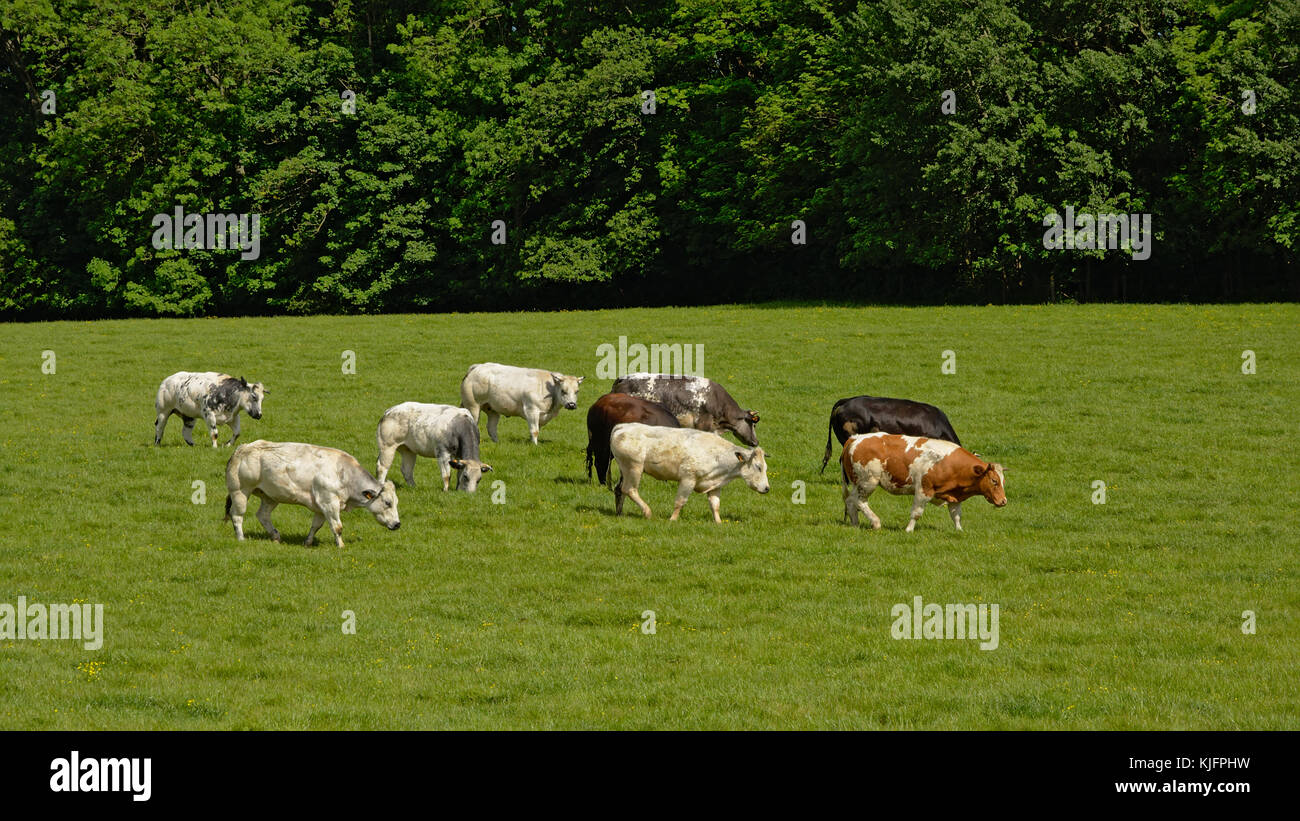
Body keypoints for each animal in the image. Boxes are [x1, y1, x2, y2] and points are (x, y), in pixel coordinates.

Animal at [224, 440, 400, 547]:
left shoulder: (320, 506)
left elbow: (316, 525)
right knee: (237, 515)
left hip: (270, 497)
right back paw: (241, 538)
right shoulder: (329, 502)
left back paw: (275, 536)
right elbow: (337, 527)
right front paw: (341, 546)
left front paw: (307, 542)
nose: (398, 524)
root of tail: (243, 448)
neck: (344, 474)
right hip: (240, 491)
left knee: (263, 515)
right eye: (388, 503)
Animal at [609, 422, 769, 523]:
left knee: (620, 489)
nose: (767, 488)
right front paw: (673, 519)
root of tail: (623, 426)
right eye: (758, 467)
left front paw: (718, 522)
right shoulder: (688, 479)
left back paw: (620, 513)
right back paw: (647, 512)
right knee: (630, 489)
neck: (717, 456)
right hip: (633, 467)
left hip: (626, 470)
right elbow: (680, 501)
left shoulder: (715, 485)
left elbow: (715, 505)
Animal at [839, 432, 1005, 532]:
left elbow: (956, 515)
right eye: (994, 481)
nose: (1003, 501)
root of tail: (854, 438)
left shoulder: (954, 496)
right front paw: (909, 530)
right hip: (868, 481)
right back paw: (875, 522)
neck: (948, 463)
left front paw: (959, 530)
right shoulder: (923, 490)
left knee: (850, 501)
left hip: (858, 483)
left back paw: (855, 524)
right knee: (859, 500)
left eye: (1002, 481)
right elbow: (916, 513)